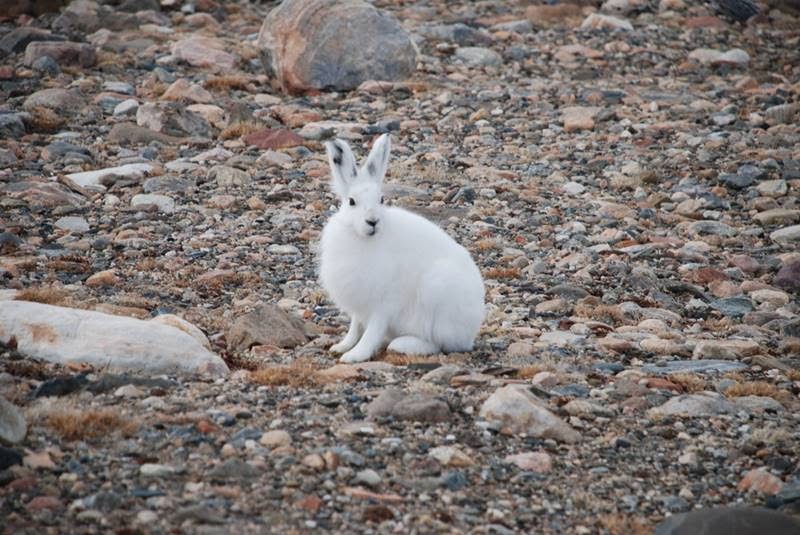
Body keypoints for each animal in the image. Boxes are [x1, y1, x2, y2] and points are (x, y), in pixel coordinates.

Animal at [319, 134, 485, 363]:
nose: (373, 221)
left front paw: (354, 356)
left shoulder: (384, 303)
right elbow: (355, 327)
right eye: (351, 202)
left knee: (439, 344)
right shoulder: (359, 306)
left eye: (381, 199)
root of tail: (471, 331)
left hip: (437, 290)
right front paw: (342, 346)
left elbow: (372, 331)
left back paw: (402, 344)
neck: (362, 238)